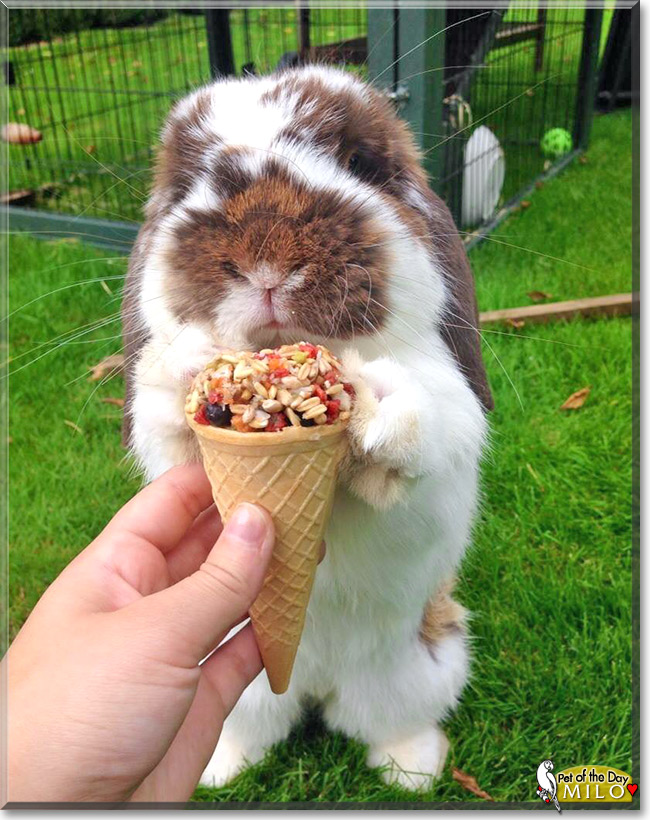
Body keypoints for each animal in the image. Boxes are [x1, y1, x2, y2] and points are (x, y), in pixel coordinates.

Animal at [122, 65, 493, 791]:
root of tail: (306, 679)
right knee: (249, 729)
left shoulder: (452, 428)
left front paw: (379, 402)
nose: (265, 254)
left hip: (423, 668)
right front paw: (185, 369)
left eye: (360, 163)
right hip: (232, 689)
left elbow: (433, 426)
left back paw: (414, 770)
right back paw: (220, 770)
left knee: (387, 723)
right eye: (187, 183)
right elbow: (164, 429)